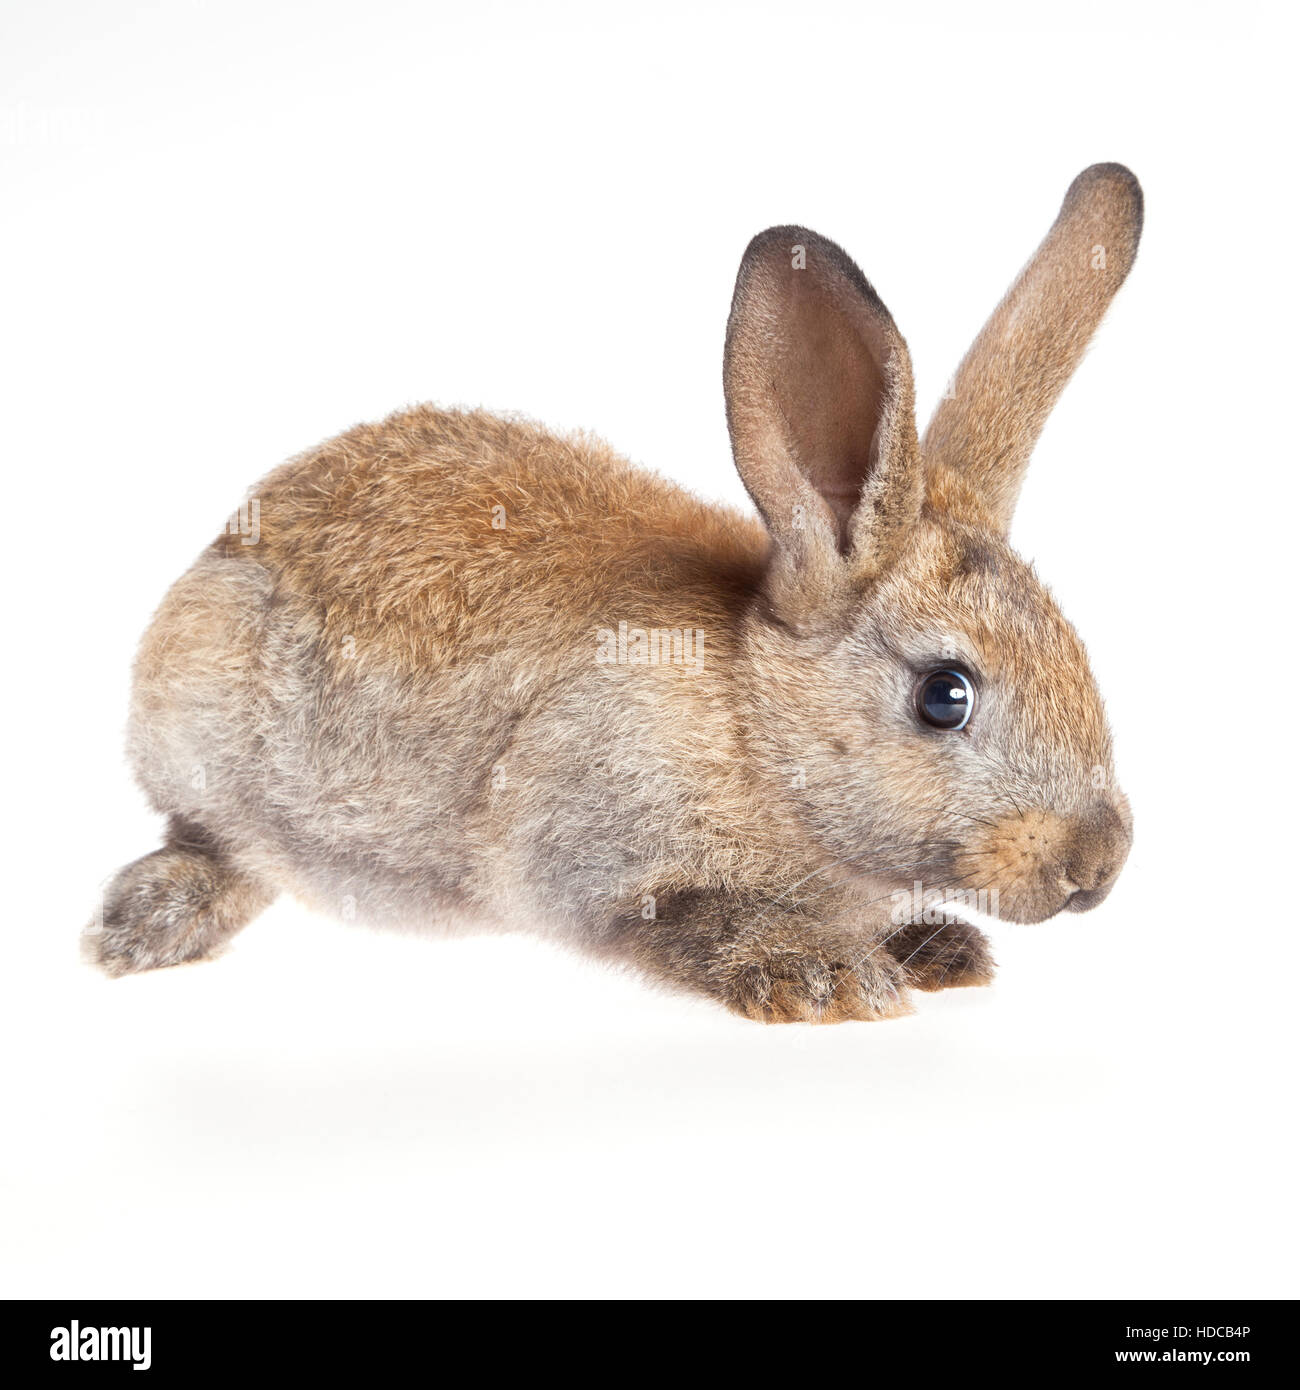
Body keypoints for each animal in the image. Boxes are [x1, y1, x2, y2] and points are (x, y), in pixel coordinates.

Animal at [86, 163, 1141, 1023]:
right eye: (944, 696)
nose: (1097, 865)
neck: (758, 728)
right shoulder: (590, 843)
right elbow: (690, 918)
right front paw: (821, 977)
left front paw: (936, 950)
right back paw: (144, 925)